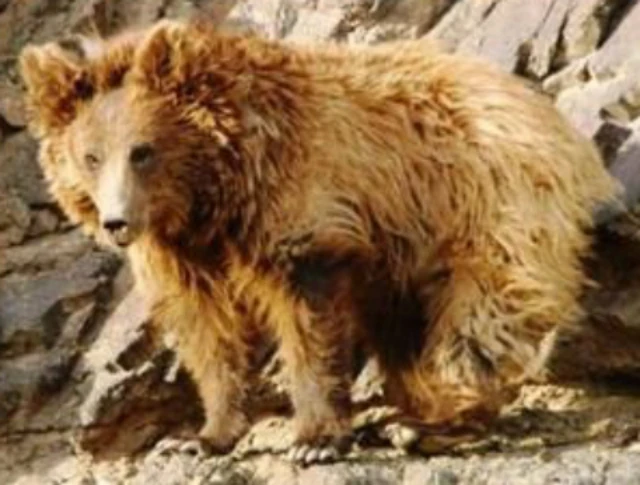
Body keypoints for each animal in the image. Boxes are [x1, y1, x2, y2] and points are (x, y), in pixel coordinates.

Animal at [19, 19, 618, 463]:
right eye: (90, 156)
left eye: (142, 150)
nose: (117, 222)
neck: (216, 192)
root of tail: (542, 110)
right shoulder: (182, 251)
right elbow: (207, 330)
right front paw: (200, 435)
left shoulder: (301, 203)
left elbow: (308, 321)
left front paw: (314, 438)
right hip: (405, 253)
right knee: (403, 328)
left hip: (485, 203)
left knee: (482, 314)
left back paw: (436, 420)